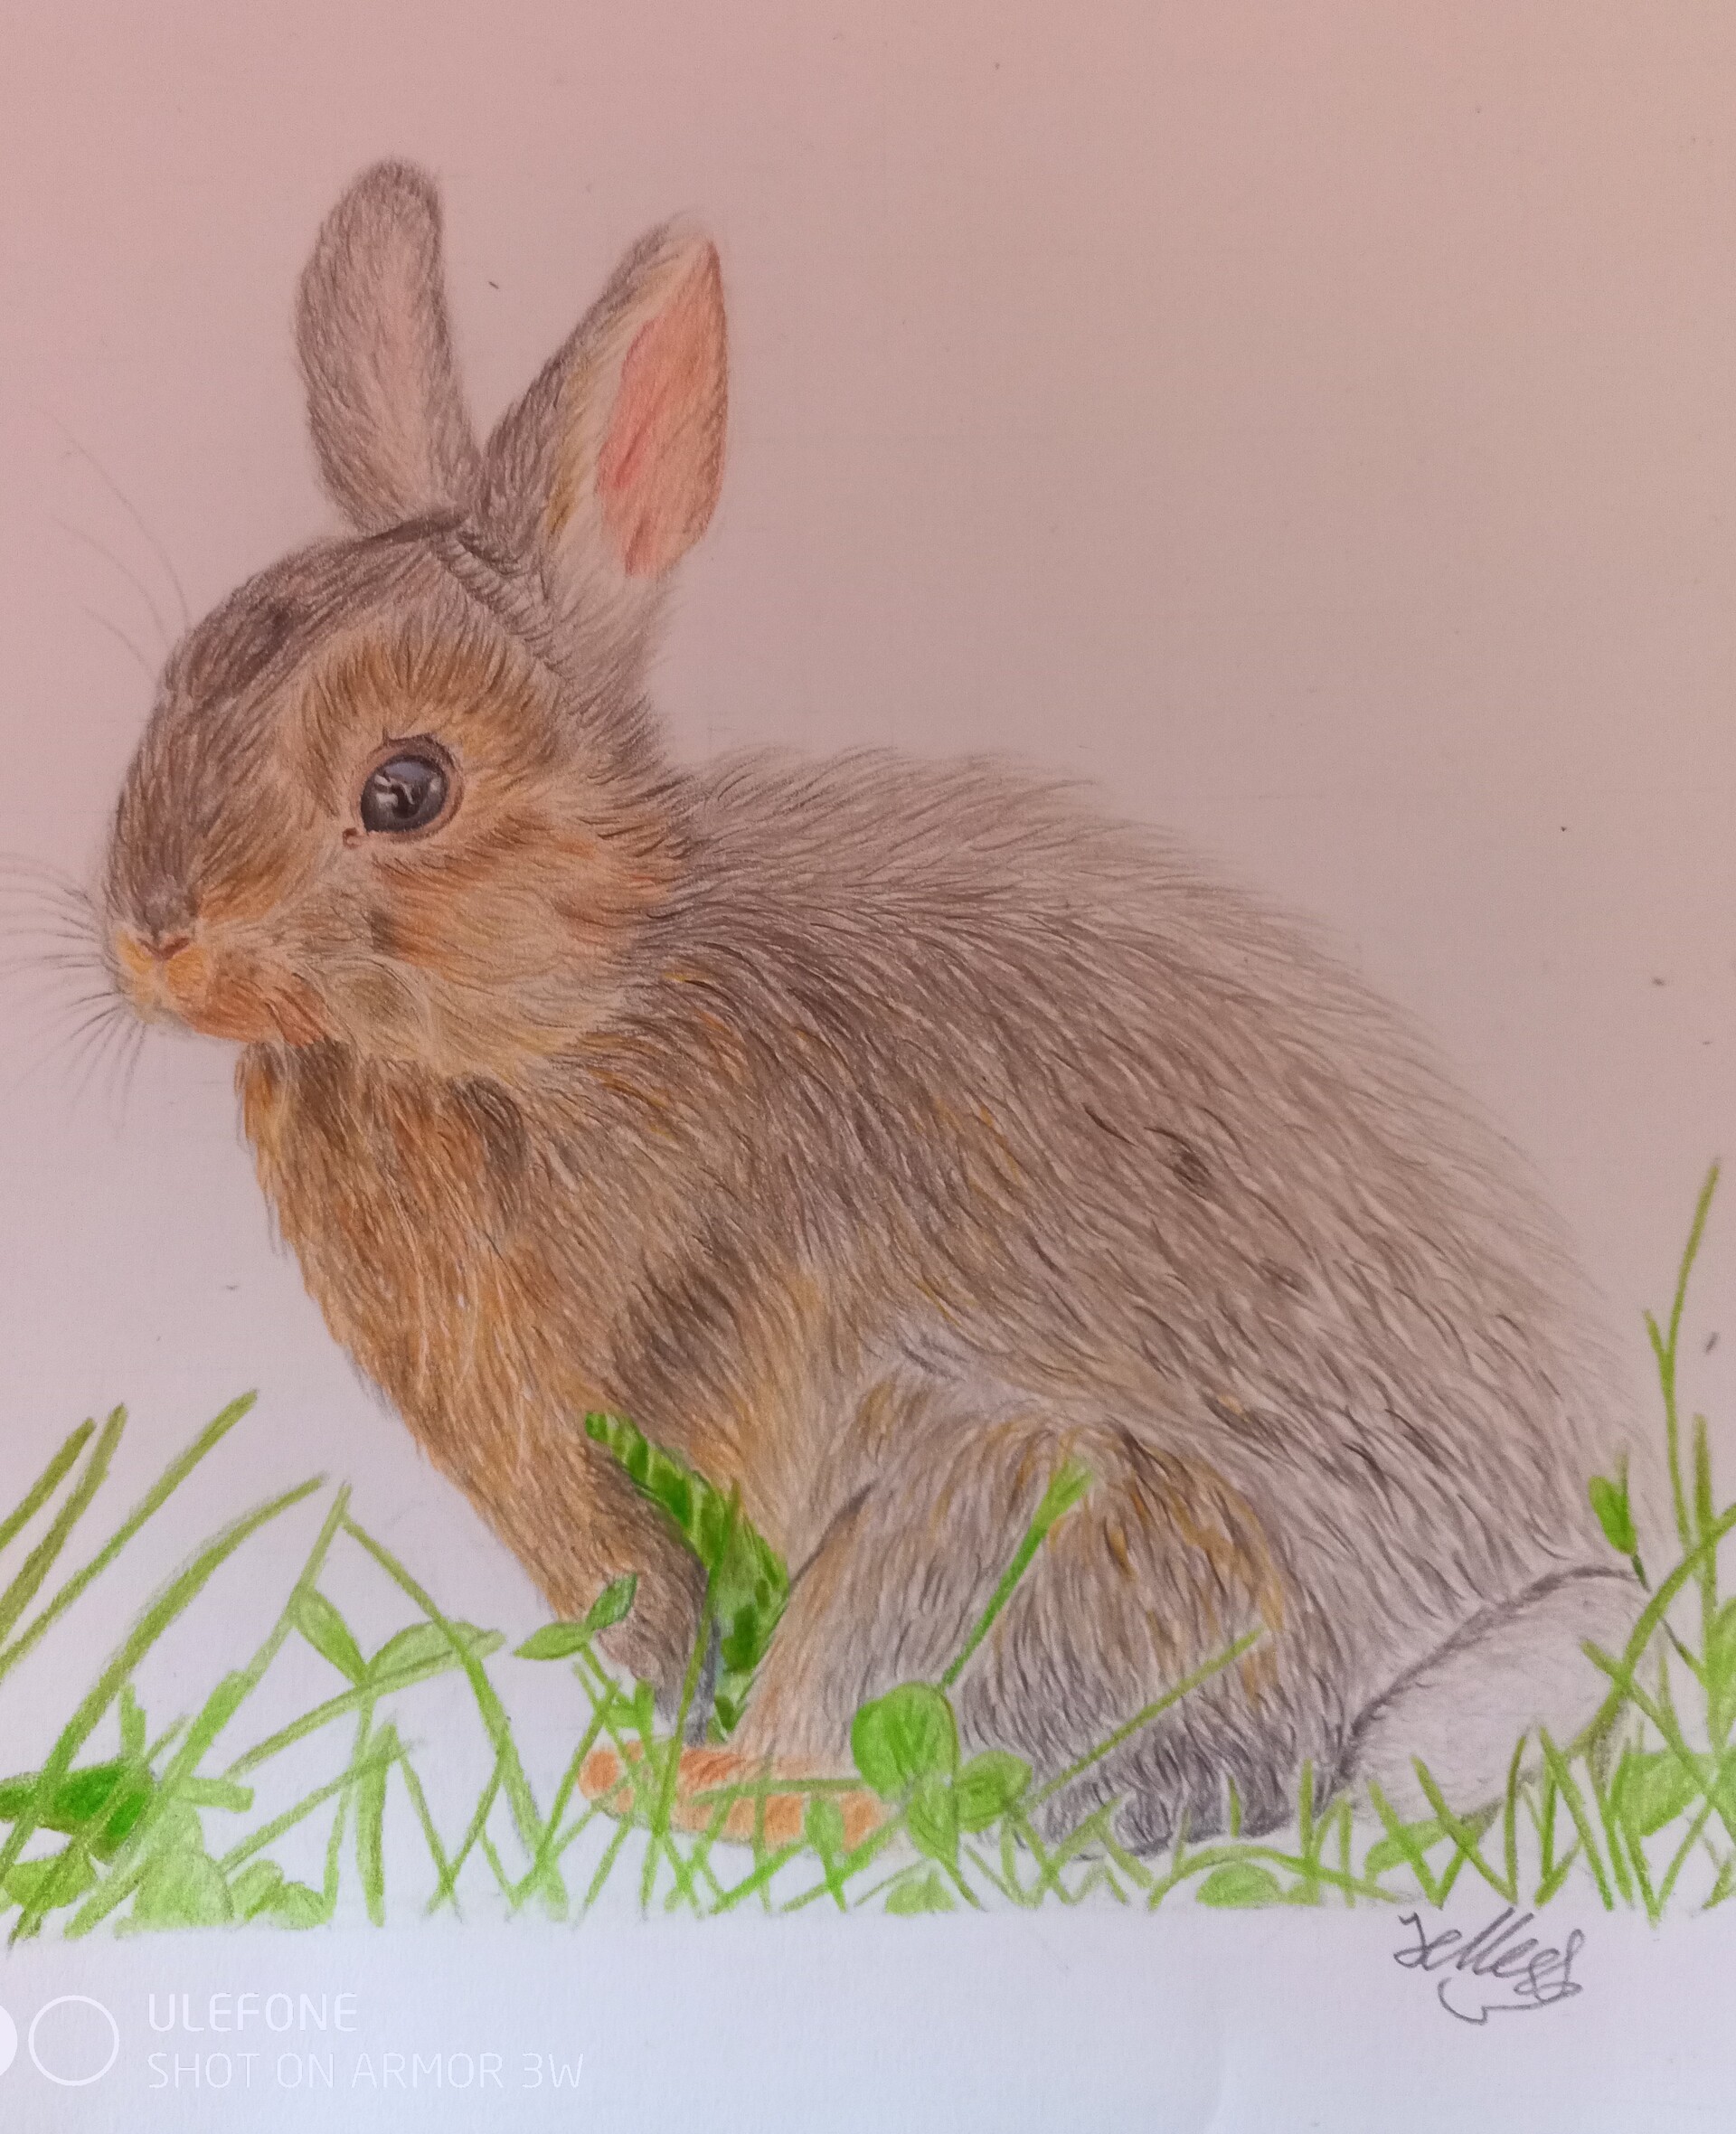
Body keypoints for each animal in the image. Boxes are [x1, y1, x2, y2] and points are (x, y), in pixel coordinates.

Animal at [100, 159, 1640, 1852]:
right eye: (176, 686)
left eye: (407, 789)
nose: (153, 934)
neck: (570, 1010)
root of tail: (1386, 1707)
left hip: (996, 1511)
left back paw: (729, 1796)